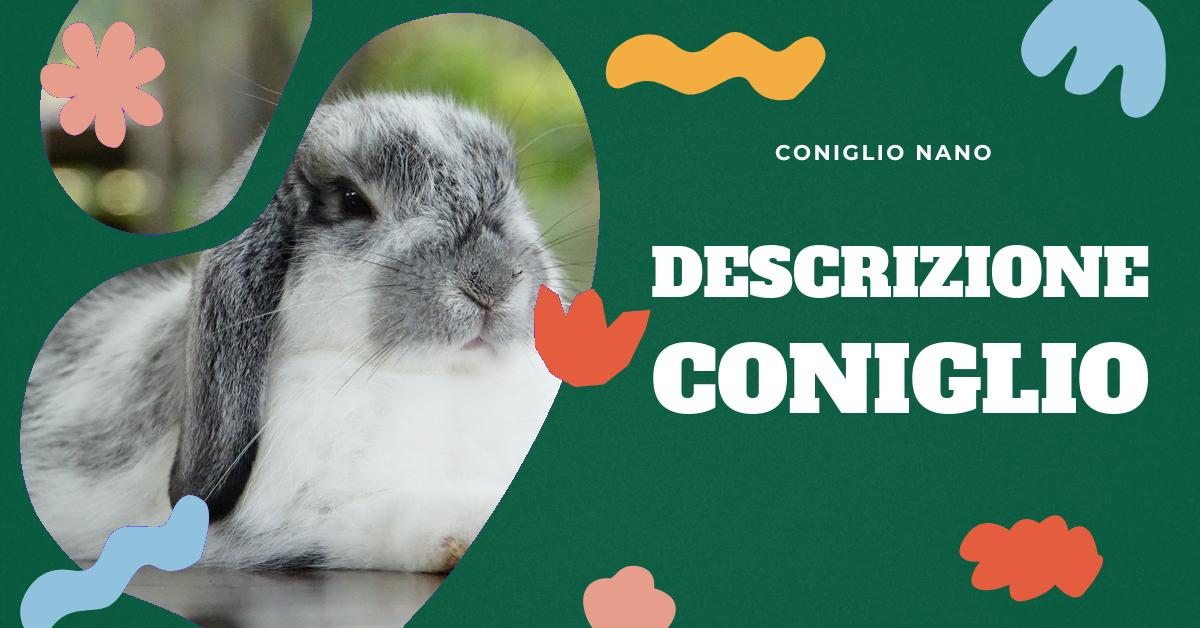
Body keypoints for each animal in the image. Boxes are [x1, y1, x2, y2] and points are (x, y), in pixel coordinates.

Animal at [20, 93, 573, 572]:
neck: (441, 380)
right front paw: (474, 516)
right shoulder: (293, 524)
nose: (491, 283)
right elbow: (384, 518)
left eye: (510, 187)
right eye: (351, 200)